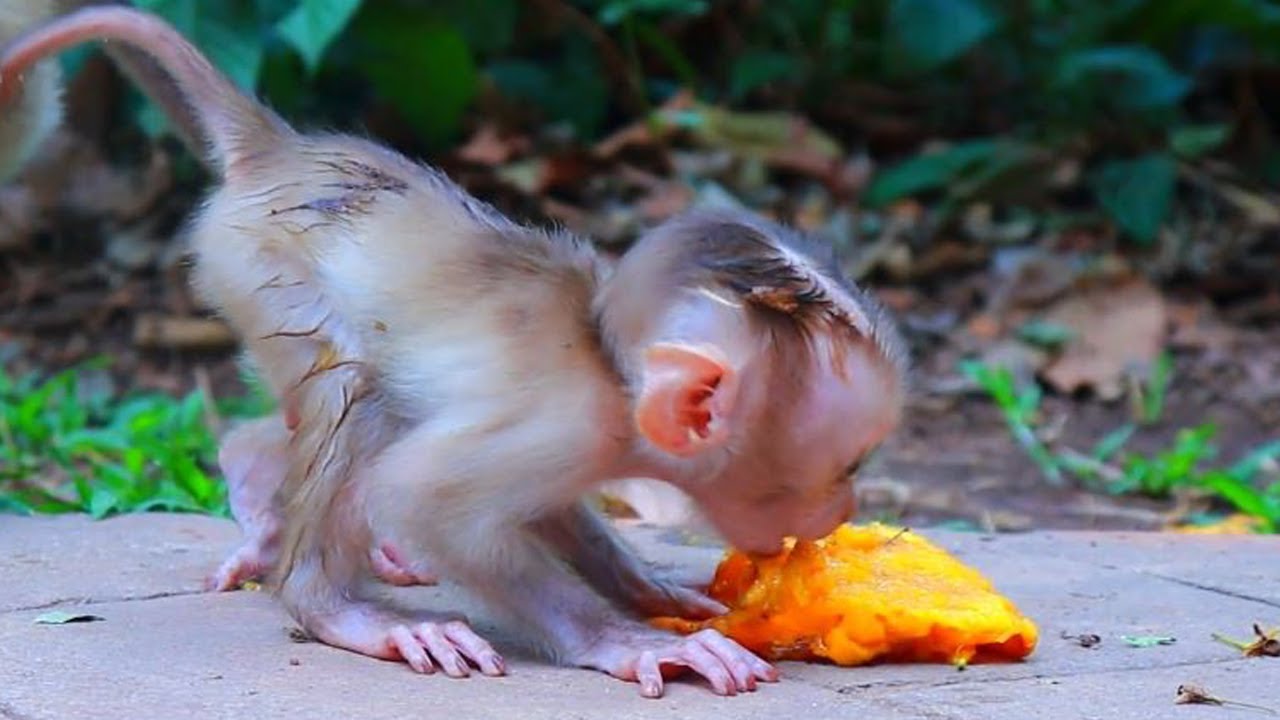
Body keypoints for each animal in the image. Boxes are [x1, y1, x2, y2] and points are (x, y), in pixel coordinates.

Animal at [0, 6, 907, 698]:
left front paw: (648, 589)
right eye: (847, 463)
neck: (612, 374)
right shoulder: (563, 426)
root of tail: (281, 150)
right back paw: (332, 606)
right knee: (352, 391)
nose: (844, 509)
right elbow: (429, 501)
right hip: (252, 263)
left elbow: (547, 516)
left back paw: (261, 482)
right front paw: (629, 641)